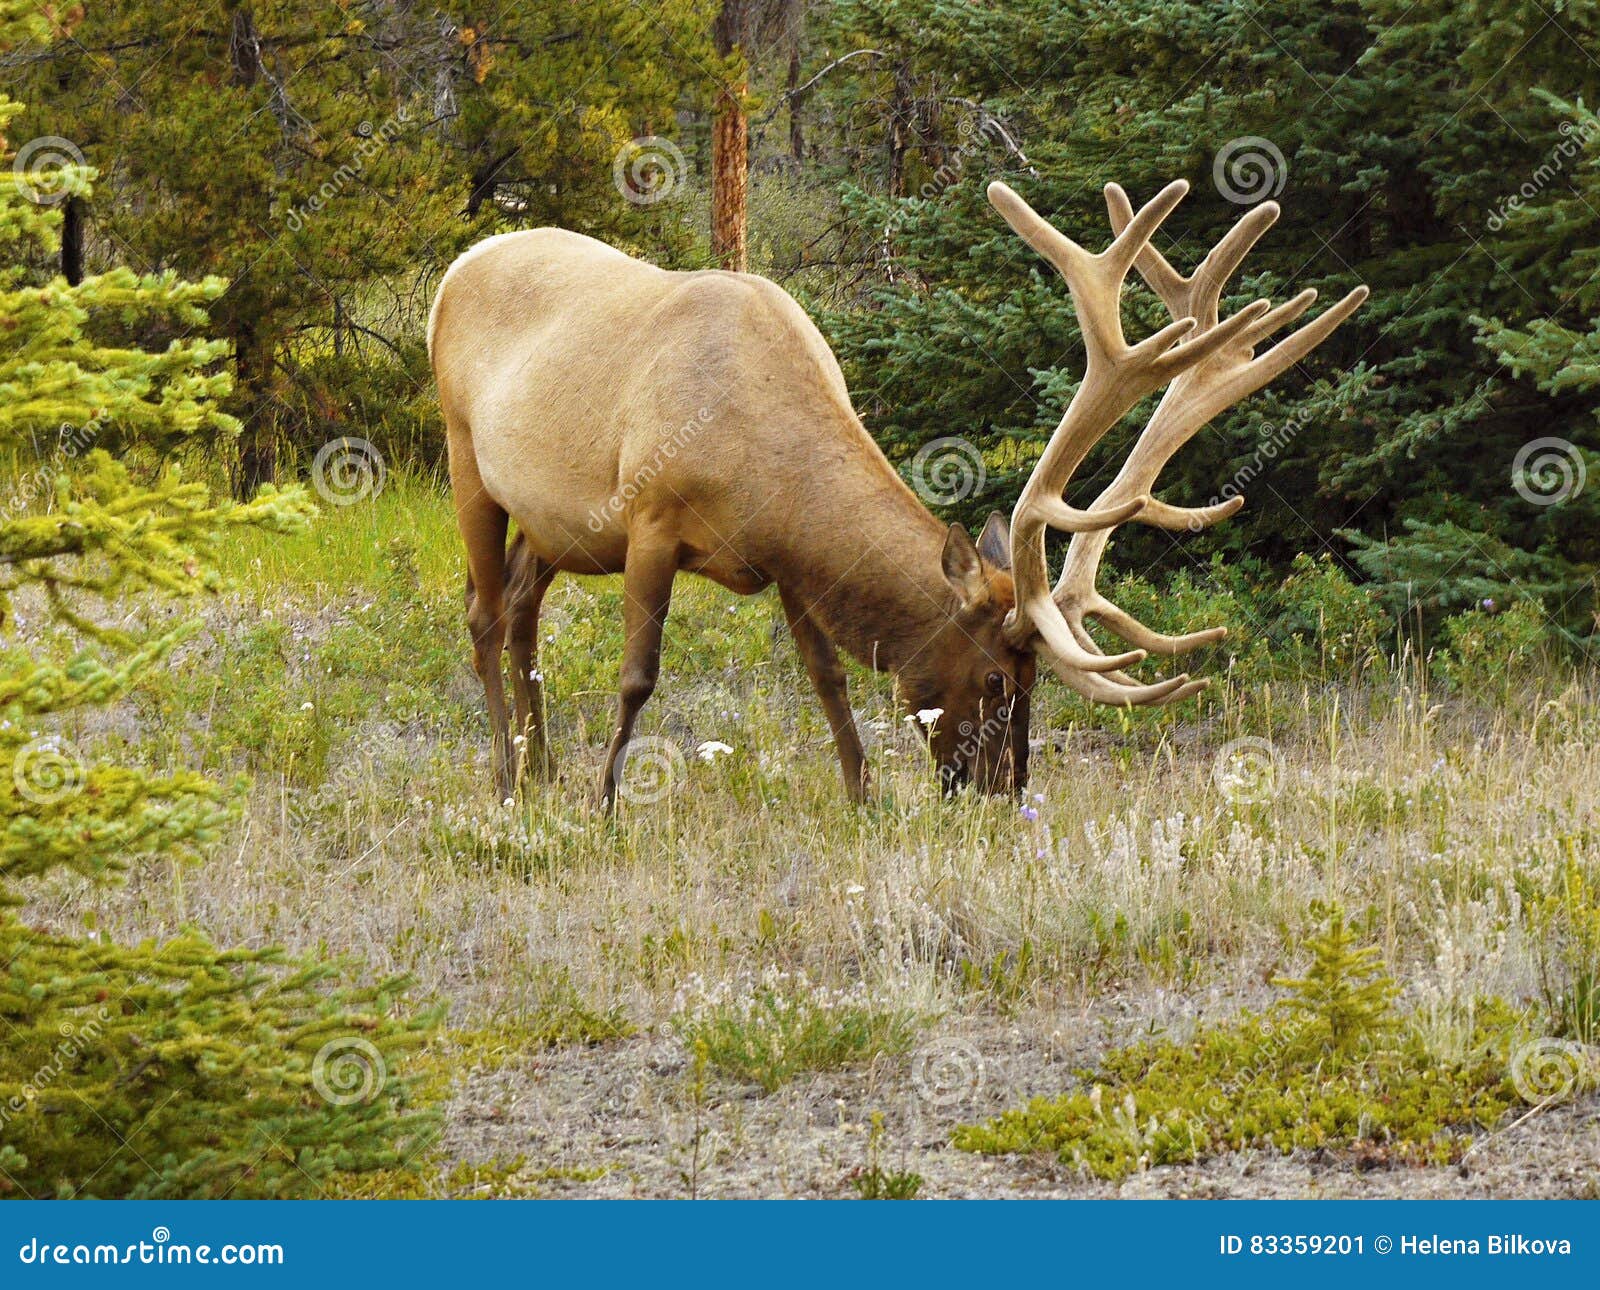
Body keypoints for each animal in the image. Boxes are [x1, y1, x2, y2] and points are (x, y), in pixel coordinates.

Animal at [428, 178, 1366, 808]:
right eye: (996, 680)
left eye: (1037, 680)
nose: (1002, 790)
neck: (764, 466)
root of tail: (456, 265)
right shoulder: (652, 520)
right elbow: (637, 677)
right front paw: (607, 803)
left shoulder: (787, 562)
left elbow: (829, 678)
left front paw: (863, 795)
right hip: (465, 453)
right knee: (482, 613)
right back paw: (509, 775)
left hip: (555, 525)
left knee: (521, 607)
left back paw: (540, 761)